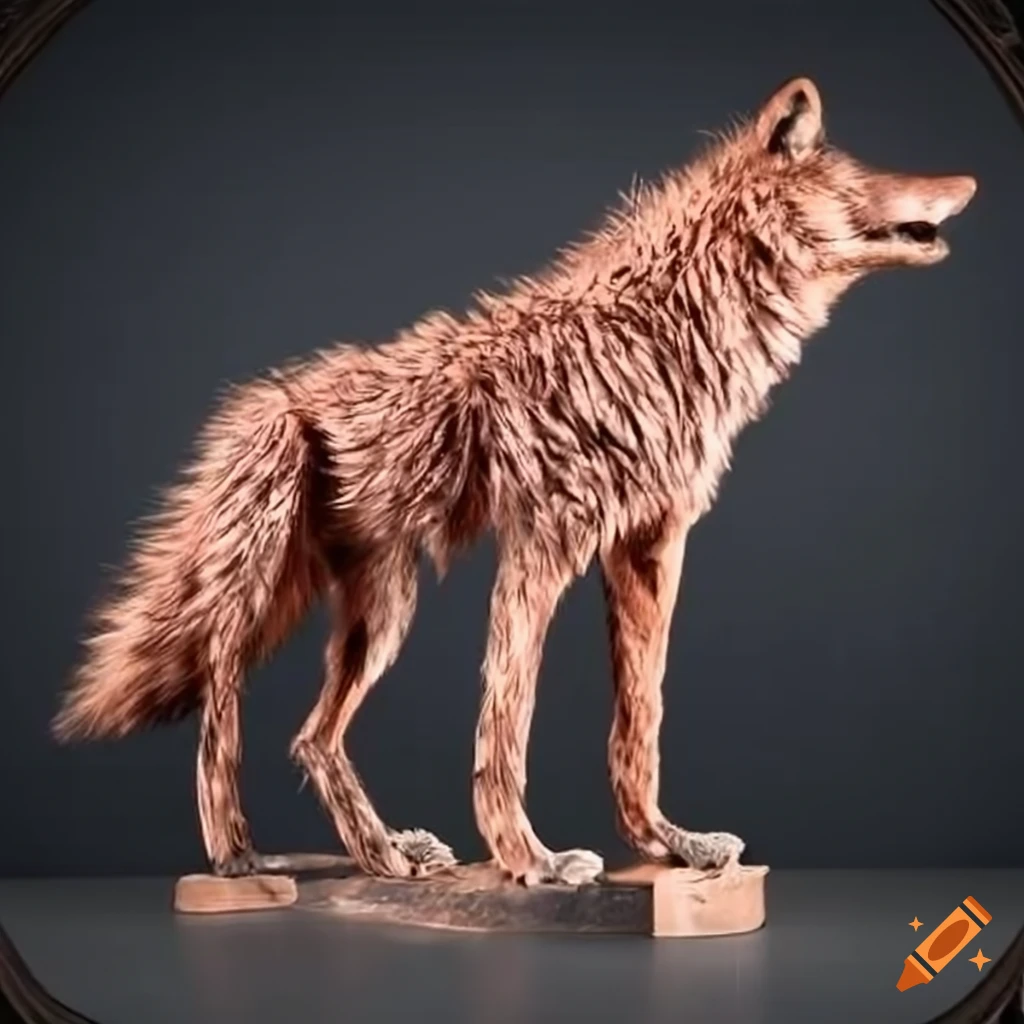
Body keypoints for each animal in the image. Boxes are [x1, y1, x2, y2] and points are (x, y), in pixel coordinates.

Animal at [52, 77, 976, 886]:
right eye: (868, 177)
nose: (967, 183)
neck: (667, 329)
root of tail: (252, 407)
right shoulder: (542, 545)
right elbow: (506, 721)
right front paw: (530, 861)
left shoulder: (650, 546)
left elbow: (640, 725)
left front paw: (668, 846)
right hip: (262, 595)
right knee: (221, 712)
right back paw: (242, 861)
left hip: (382, 613)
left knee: (311, 736)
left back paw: (388, 859)